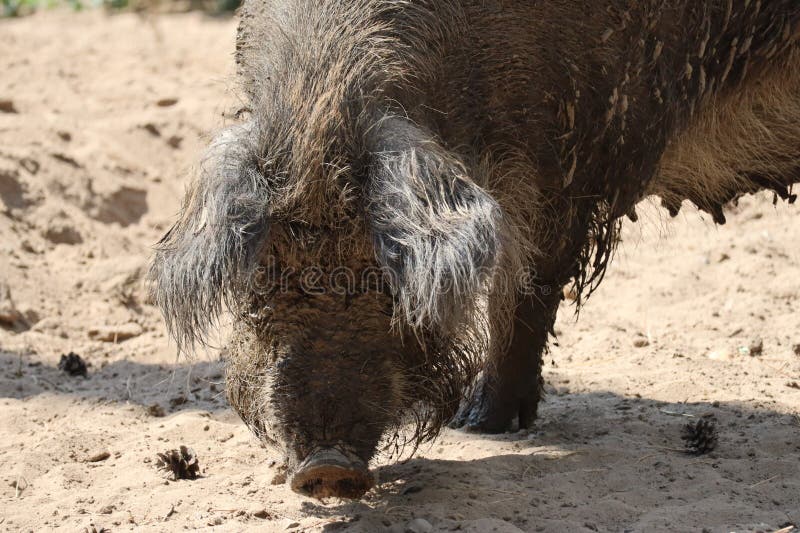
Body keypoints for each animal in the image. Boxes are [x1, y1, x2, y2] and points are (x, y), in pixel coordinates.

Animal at [149, 0, 800, 499]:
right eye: (263, 281)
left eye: (384, 279)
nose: (326, 469)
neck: (323, 103)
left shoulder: (574, 156)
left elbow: (527, 290)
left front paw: (481, 427)